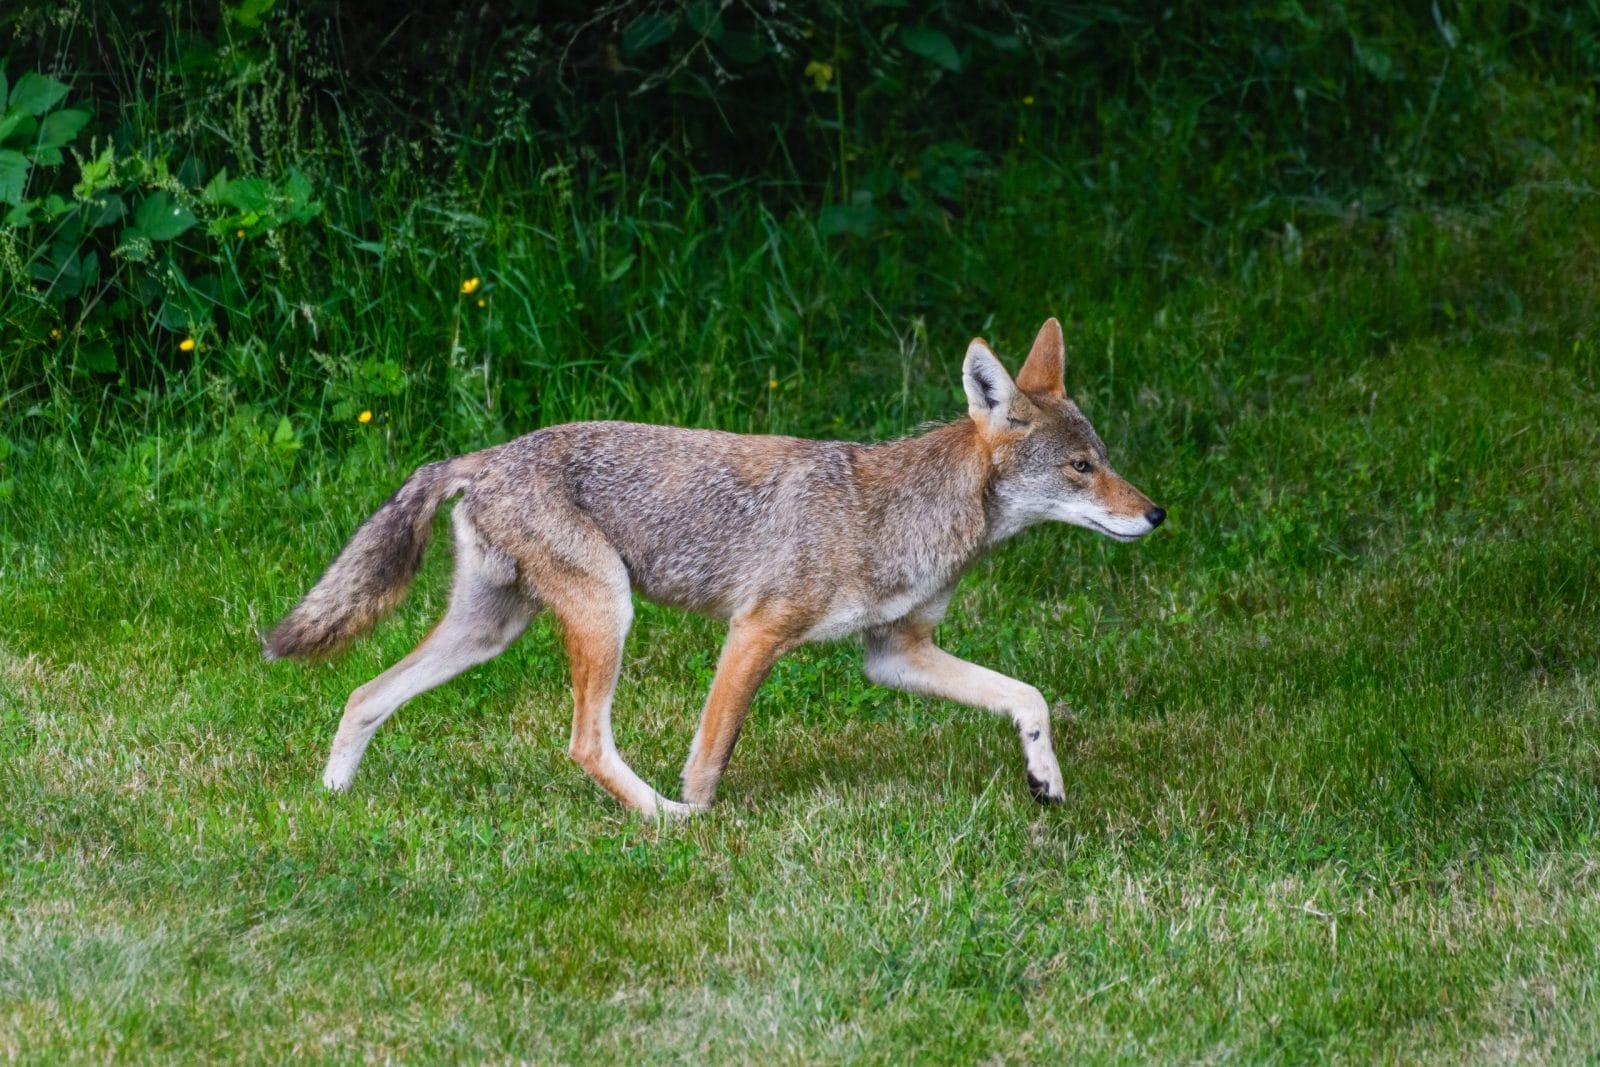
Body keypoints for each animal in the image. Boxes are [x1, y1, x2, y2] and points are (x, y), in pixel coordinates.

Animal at [264, 319, 1165, 819]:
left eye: (1106, 460)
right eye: (1082, 467)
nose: (1157, 513)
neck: (912, 513)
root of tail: (484, 454)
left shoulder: (895, 655)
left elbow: (1028, 696)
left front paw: (1045, 780)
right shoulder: (756, 631)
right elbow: (710, 755)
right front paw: (701, 821)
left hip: (489, 633)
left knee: (363, 694)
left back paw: (332, 801)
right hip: (608, 615)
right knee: (585, 743)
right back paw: (662, 821)